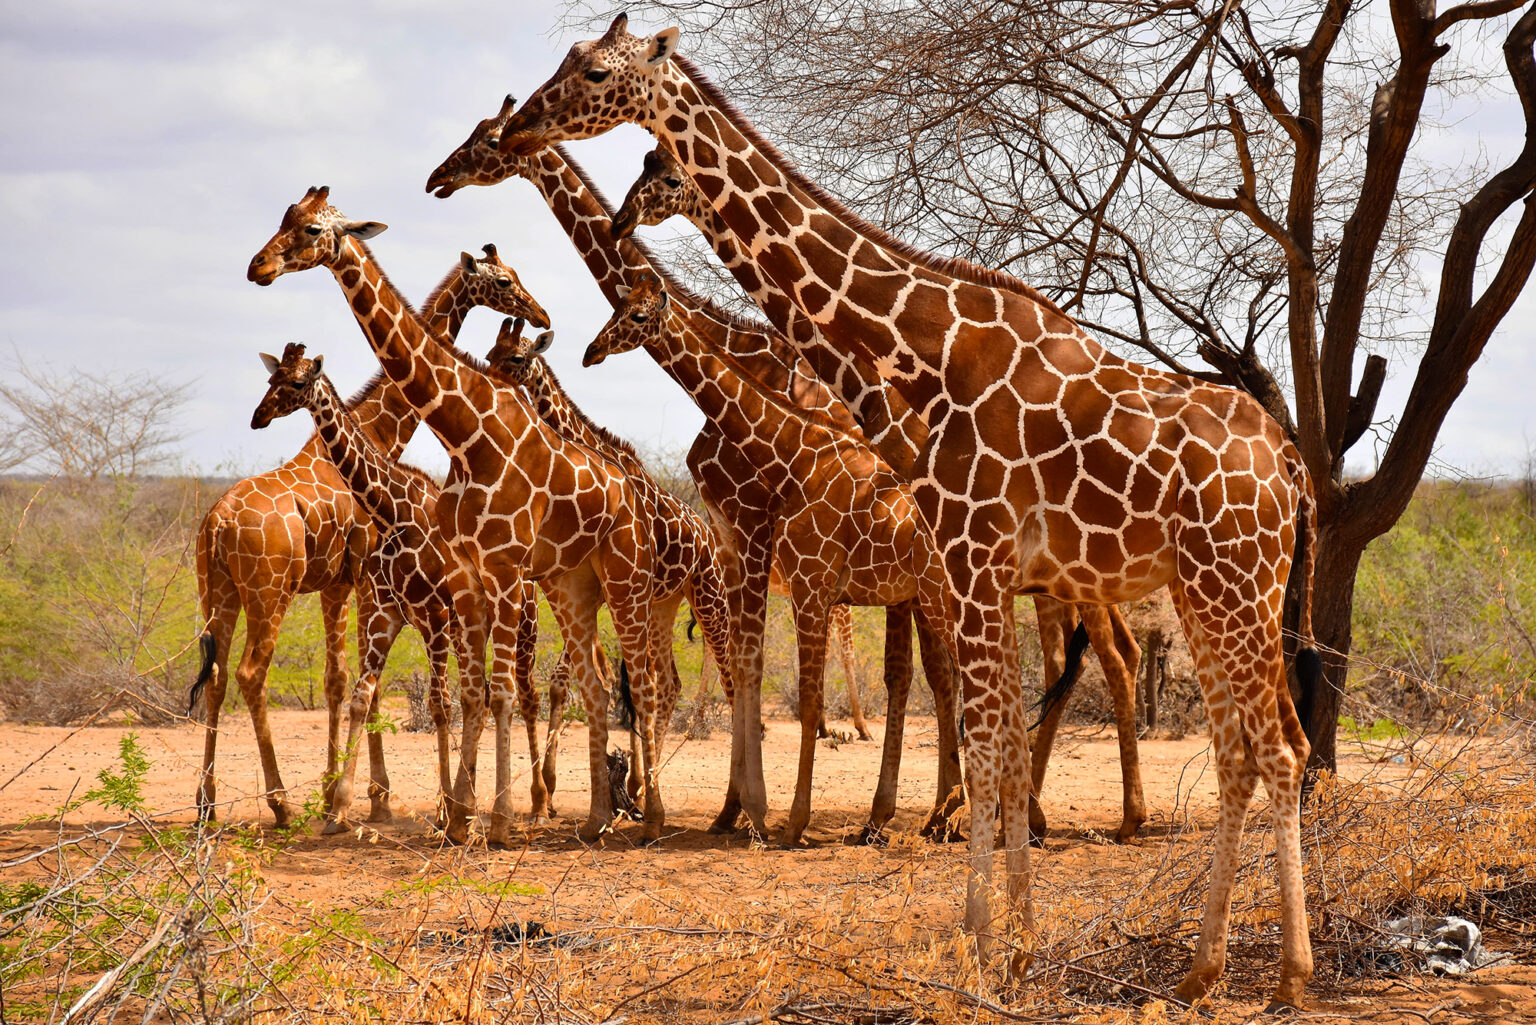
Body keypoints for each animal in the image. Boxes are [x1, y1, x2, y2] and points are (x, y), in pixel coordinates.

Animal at [249, 342, 495, 834]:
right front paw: (338, 808)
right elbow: (362, 696)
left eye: (298, 381)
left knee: (490, 692)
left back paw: (473, 804)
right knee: (478, 694)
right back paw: (471, 800)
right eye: (271, 379)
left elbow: (439, 705)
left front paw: (444, 808)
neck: (394, 513)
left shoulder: (434, 616)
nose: (258, 417)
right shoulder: (387, 611)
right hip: (460, 630)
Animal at [482, 315, 738, 811]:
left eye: (518, 357)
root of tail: (705, 533)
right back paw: (643, 783)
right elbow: (572, 681)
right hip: (663, 604)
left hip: (707, 597)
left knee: (726, 677)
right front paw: (555, 789)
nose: (490, 385)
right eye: (489, 353)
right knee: (667, 683)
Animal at [584, 272, 960, 844]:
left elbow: (807, 700)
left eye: (640, 316)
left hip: (940, 596)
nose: (591, 351)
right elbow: (764, 677)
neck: (794, 454)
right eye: (618, 307)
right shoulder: (792, 579)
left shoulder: (810, 584)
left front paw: (788, 821)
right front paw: (754, 813)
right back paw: (954, 813)